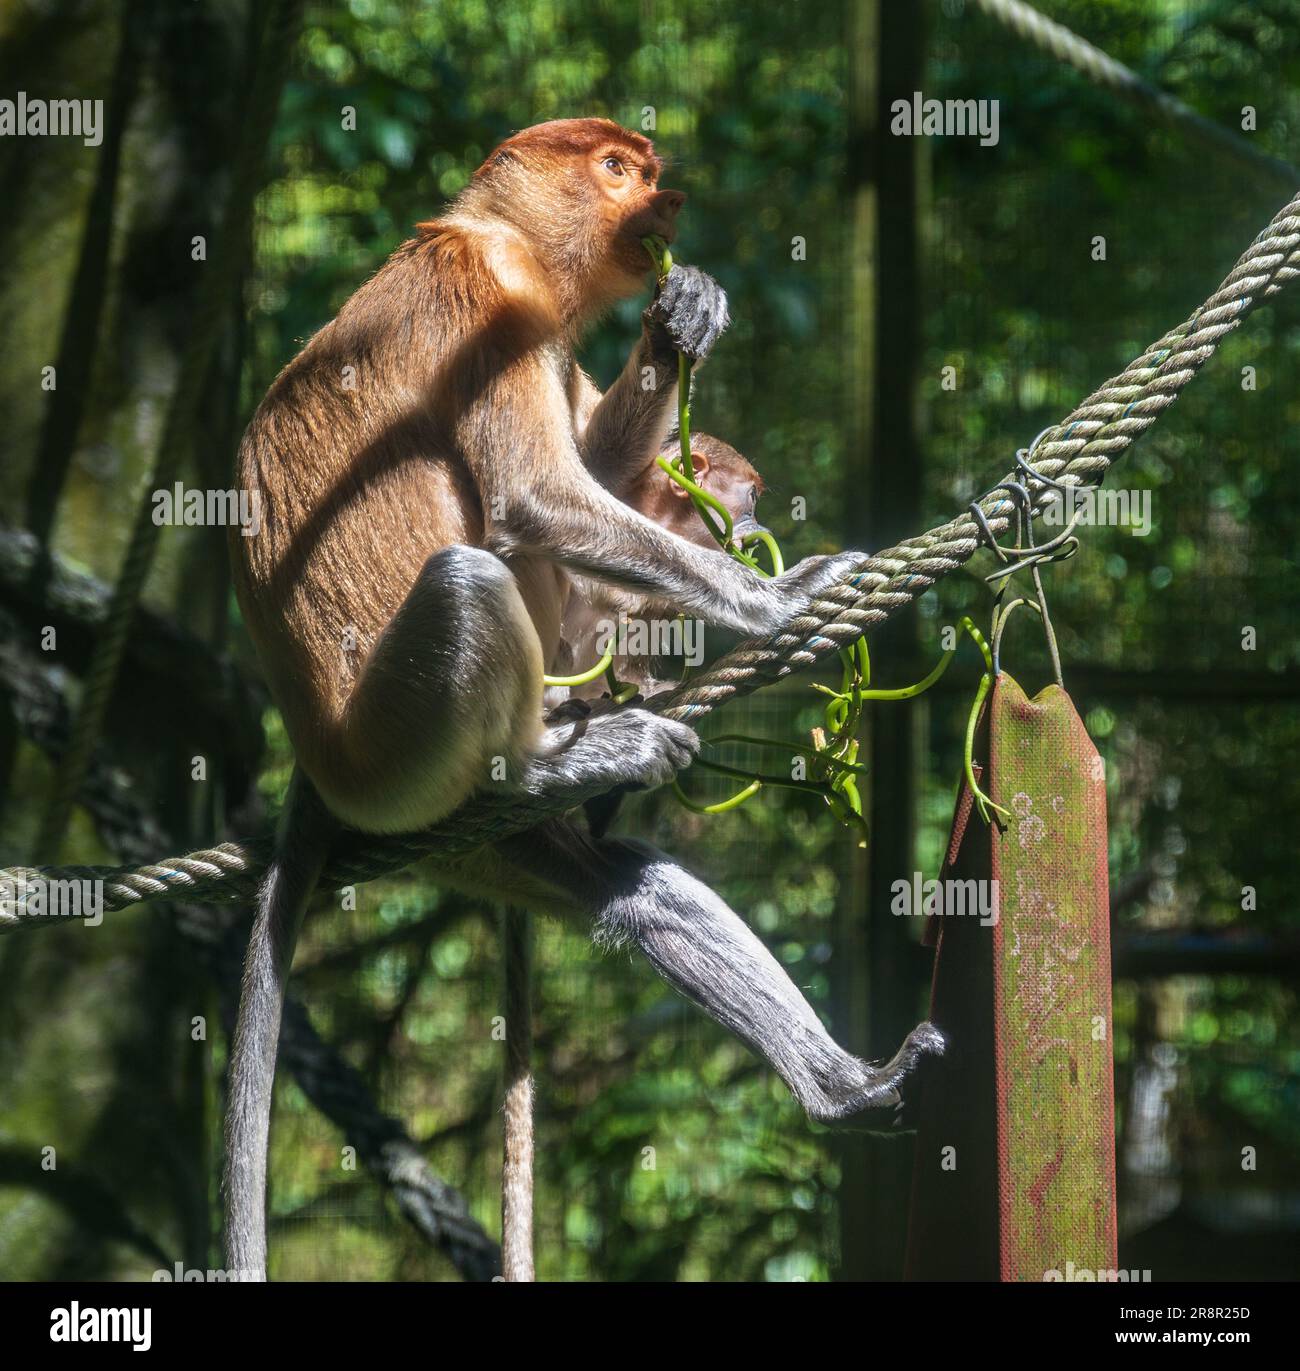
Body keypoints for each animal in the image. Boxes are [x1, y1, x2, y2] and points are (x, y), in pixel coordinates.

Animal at [226, 117, 940, 1278]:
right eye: (618, 169)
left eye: (650, 172)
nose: (669, 203)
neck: (494, 231)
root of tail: (320, 762)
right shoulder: (493, 302)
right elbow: (540, 496)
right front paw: (774, 596)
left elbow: (598, 470)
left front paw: (682, 319)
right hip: (405, 753)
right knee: (473, 574)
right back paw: (574, 756)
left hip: (467, 843)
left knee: (639, 889)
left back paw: (850, 1090)